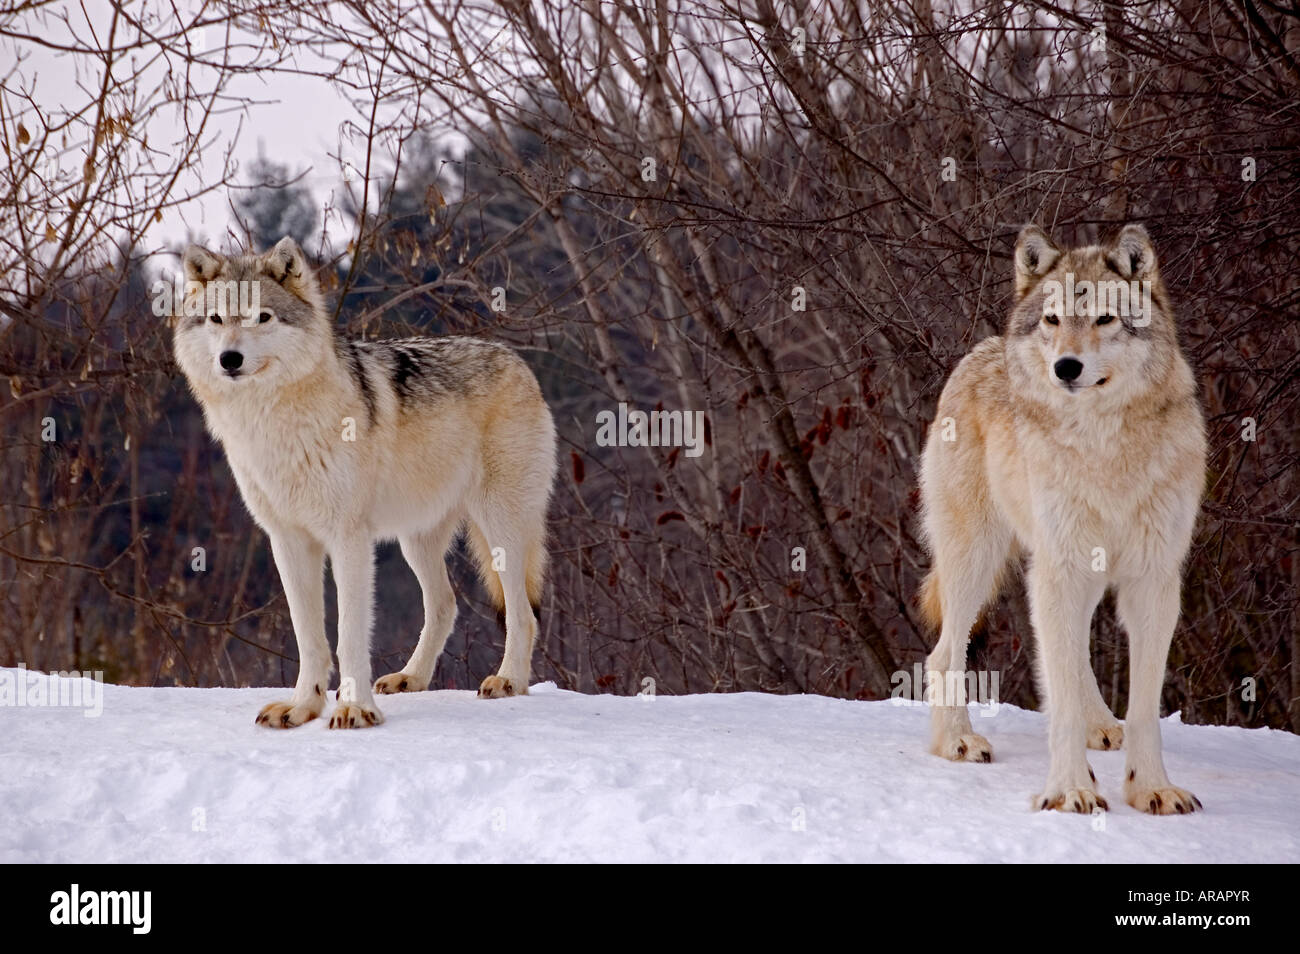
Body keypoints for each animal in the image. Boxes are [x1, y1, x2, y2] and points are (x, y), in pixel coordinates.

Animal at [174, 237, 557, 728]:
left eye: (263, 316)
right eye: (217, 320)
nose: (229, 359)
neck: (274, 423)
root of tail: (515, 359)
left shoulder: (349, 538)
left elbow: (349, 633)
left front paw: (354, 708)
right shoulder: (288, 540)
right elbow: (308, 636)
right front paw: (303, 707)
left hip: (500, 528)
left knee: (522, 612)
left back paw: (508, 680)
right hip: (417, 540)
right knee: (445, 604)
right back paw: (411, 677)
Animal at [917, 223, 1207, 813]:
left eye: (1104, 319)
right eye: (1053, 321)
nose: (1066, 367)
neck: (1105, 448)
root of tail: (983, 347)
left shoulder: (1153, 580)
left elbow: (1143, 707)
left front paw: (1151, 788)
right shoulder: (1061, 570)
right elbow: (1062, 699)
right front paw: (1072, 789)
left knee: (1068, 659)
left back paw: (1102, 725)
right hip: (977, 562)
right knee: (944, 653)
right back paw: (959, 740)